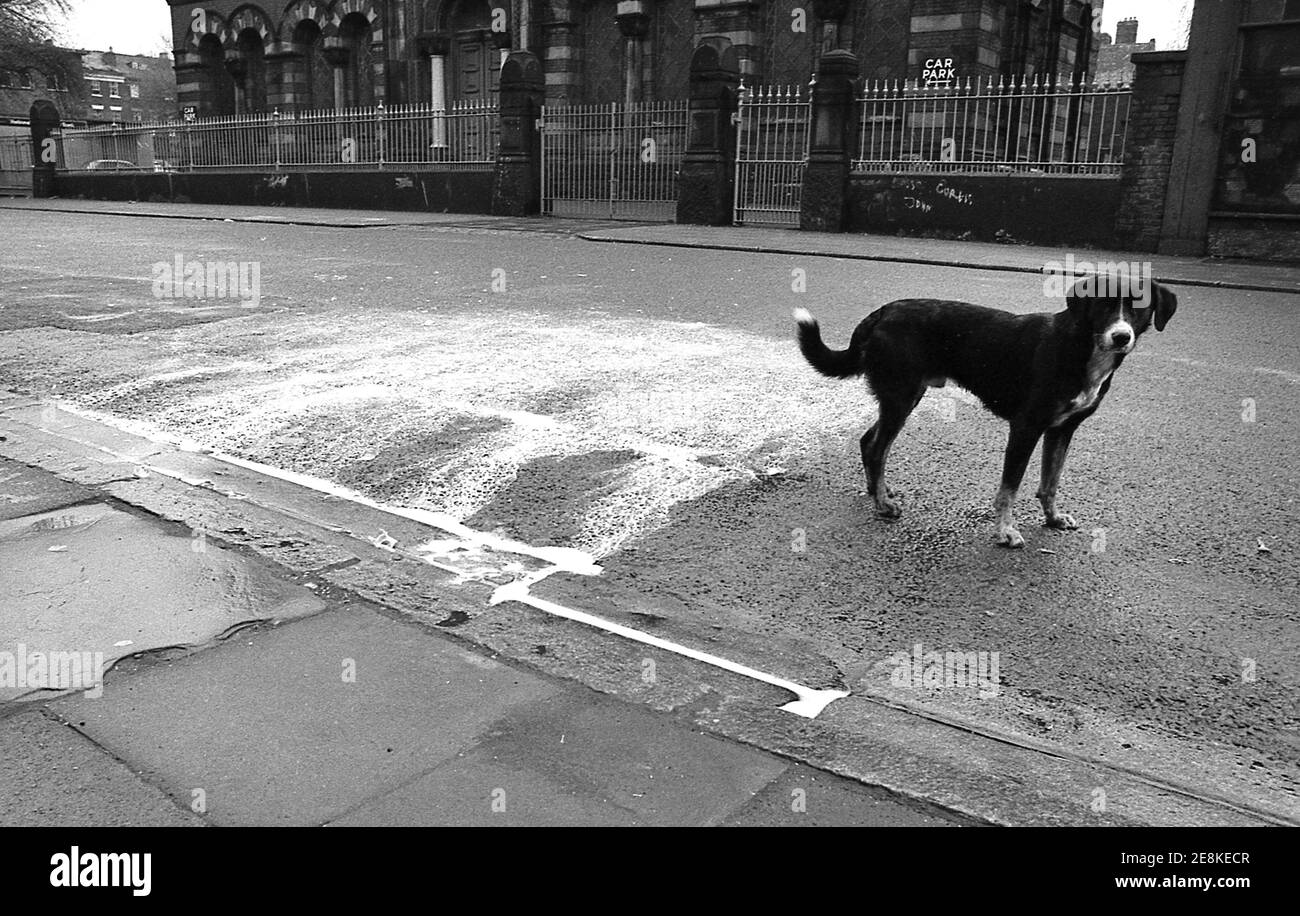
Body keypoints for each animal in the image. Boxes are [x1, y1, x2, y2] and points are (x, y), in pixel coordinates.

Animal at [790, 275, 1180, 545]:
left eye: (1139, 306)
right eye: (1103, 305)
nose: (1121, 336)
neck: (1081, 348)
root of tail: (881, 313)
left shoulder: (1062, 430)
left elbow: (1050, 481)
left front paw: (1052, 518)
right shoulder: (1025, 428)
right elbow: (1010, 488)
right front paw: (1005, 531)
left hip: (902, 397)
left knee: (869, 442)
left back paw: (878, 493)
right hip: (901, 397)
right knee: (875, 449)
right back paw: (883, 504)